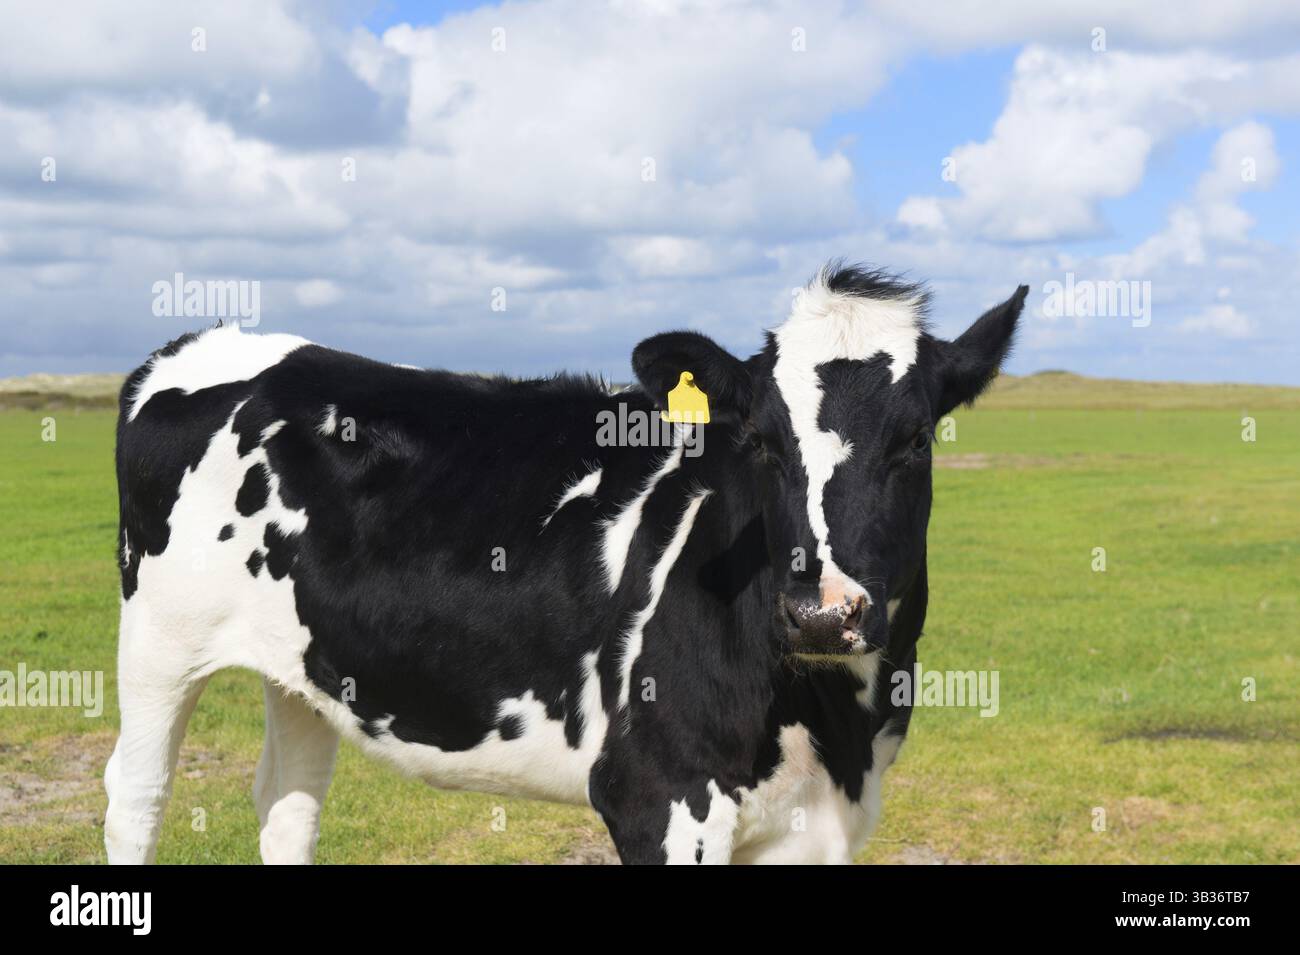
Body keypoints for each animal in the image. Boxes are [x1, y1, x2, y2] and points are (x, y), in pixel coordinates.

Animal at [104, 263, 1026, 865]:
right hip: (158, 643)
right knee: (136, 797)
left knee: (287, 806)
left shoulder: (818, 819)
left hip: (299, 666)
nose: (823, 612)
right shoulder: (658, 795)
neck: (836, 722)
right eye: (763, 440)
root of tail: (202, 346)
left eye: (917, 438)